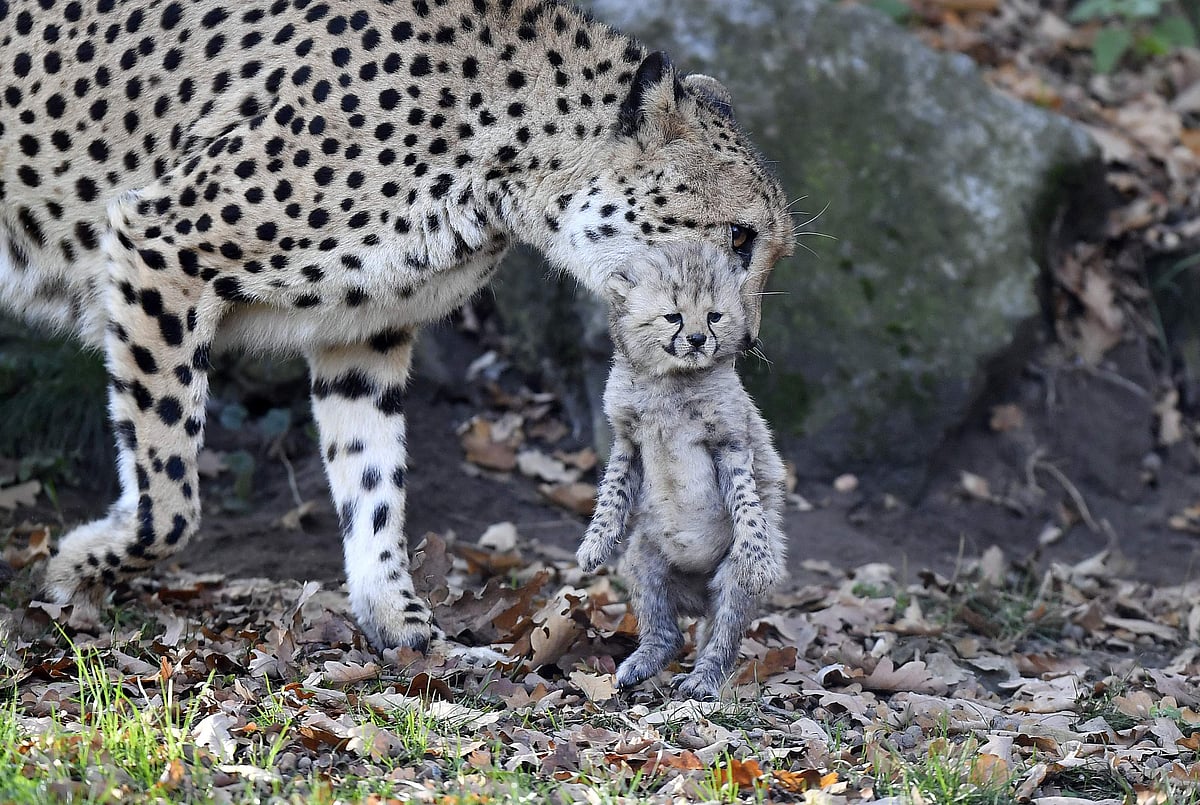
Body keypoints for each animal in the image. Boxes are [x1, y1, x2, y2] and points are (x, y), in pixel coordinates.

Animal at [0, 0, 795, 653]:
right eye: (738, 237)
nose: (747, 338)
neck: (506, 165)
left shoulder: (360, 327)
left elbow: (373, 478)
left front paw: (402, 626)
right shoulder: (159, 246)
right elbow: (168, 497)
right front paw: (75, 567)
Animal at [576, 240, 787, 700]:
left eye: (714, 315)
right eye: (673, 315)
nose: (696, 339)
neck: (671, 381)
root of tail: (697, 598)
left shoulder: (730, 443)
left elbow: (748, 505)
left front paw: (759, 555)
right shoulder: (628, 441)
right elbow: (612, 494)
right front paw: (594, 544)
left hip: (727, 580)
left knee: (721, 639)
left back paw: (702, 680)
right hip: (643, 556)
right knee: (668, 634)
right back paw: (641, 663)